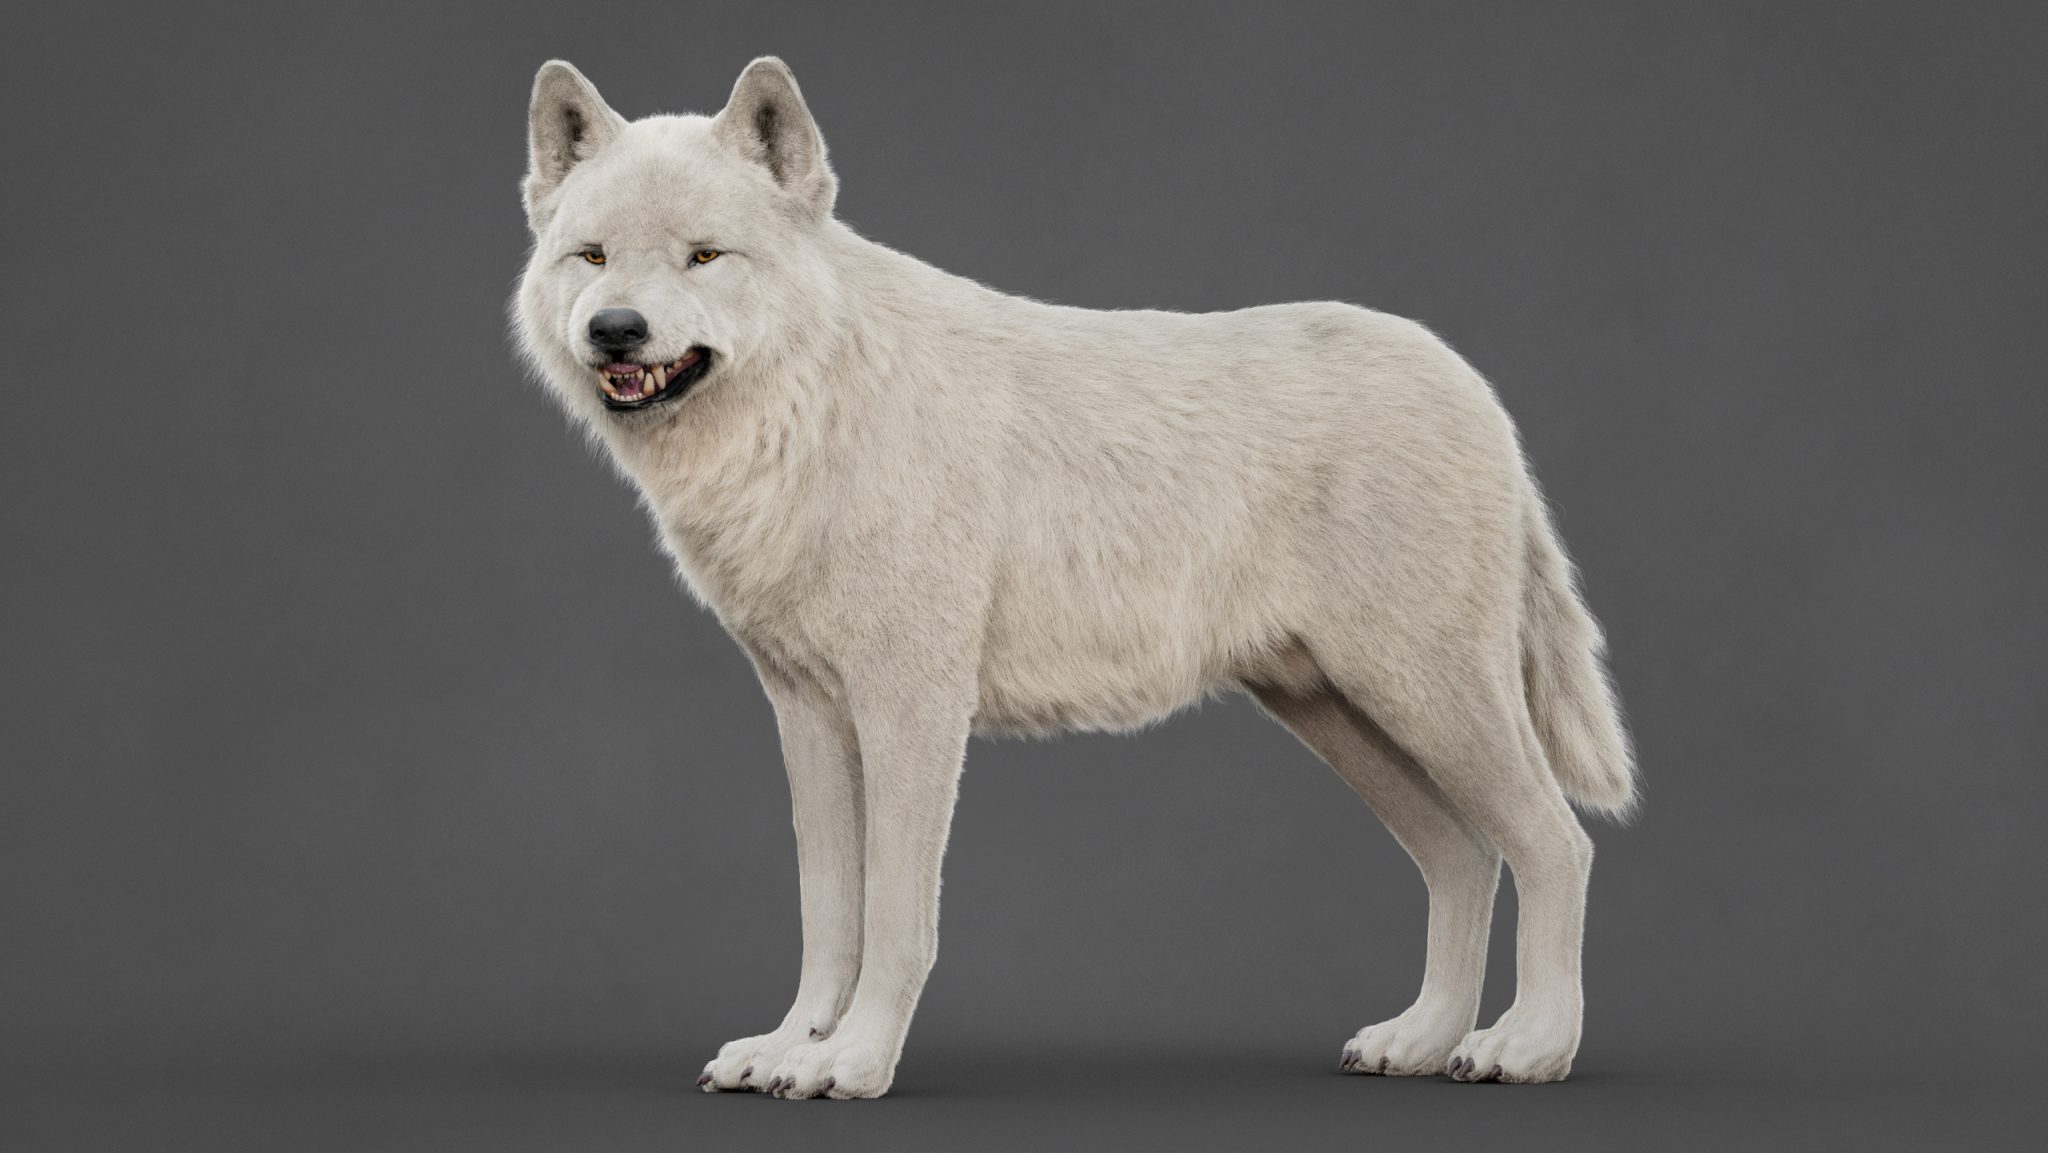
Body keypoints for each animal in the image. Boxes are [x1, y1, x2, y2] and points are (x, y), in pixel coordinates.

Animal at [512, 57, 1635, 1099]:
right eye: (592, 256)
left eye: (704, 255)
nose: (614, 328)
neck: (812, 410)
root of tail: (1474, 386)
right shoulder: (806, 710)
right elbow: (827, 912)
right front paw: (791, 1048)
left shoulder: (912, 703)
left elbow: (896, 915)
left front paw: (858, 1061)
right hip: (1341, 713)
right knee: (1466, 856)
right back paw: (1421, 1040)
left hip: (1424, 695)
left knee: (1556, 845)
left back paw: (1529, 1047)